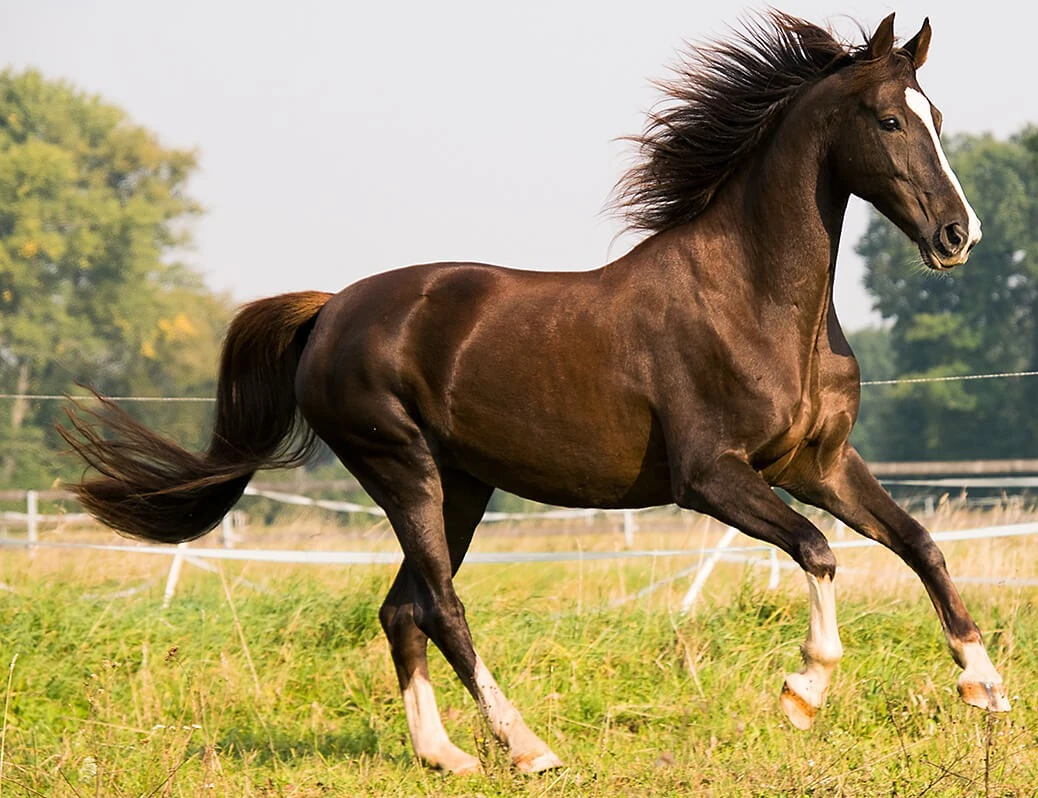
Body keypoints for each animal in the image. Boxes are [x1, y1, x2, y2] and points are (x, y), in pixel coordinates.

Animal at [62, 11, 1008, 775]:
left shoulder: (819, 463)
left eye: (936, 117)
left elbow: (920, 543)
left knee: (400, 609)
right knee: (440, 606)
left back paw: (444, 755)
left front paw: (985, 684)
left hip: (462, 486)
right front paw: (803, 691)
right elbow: (818, 550)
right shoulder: (712, 477)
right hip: (402, 469)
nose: (957, 236)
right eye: (889, 118)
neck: (755, 300)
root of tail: (330, 310)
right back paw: (527, 747)